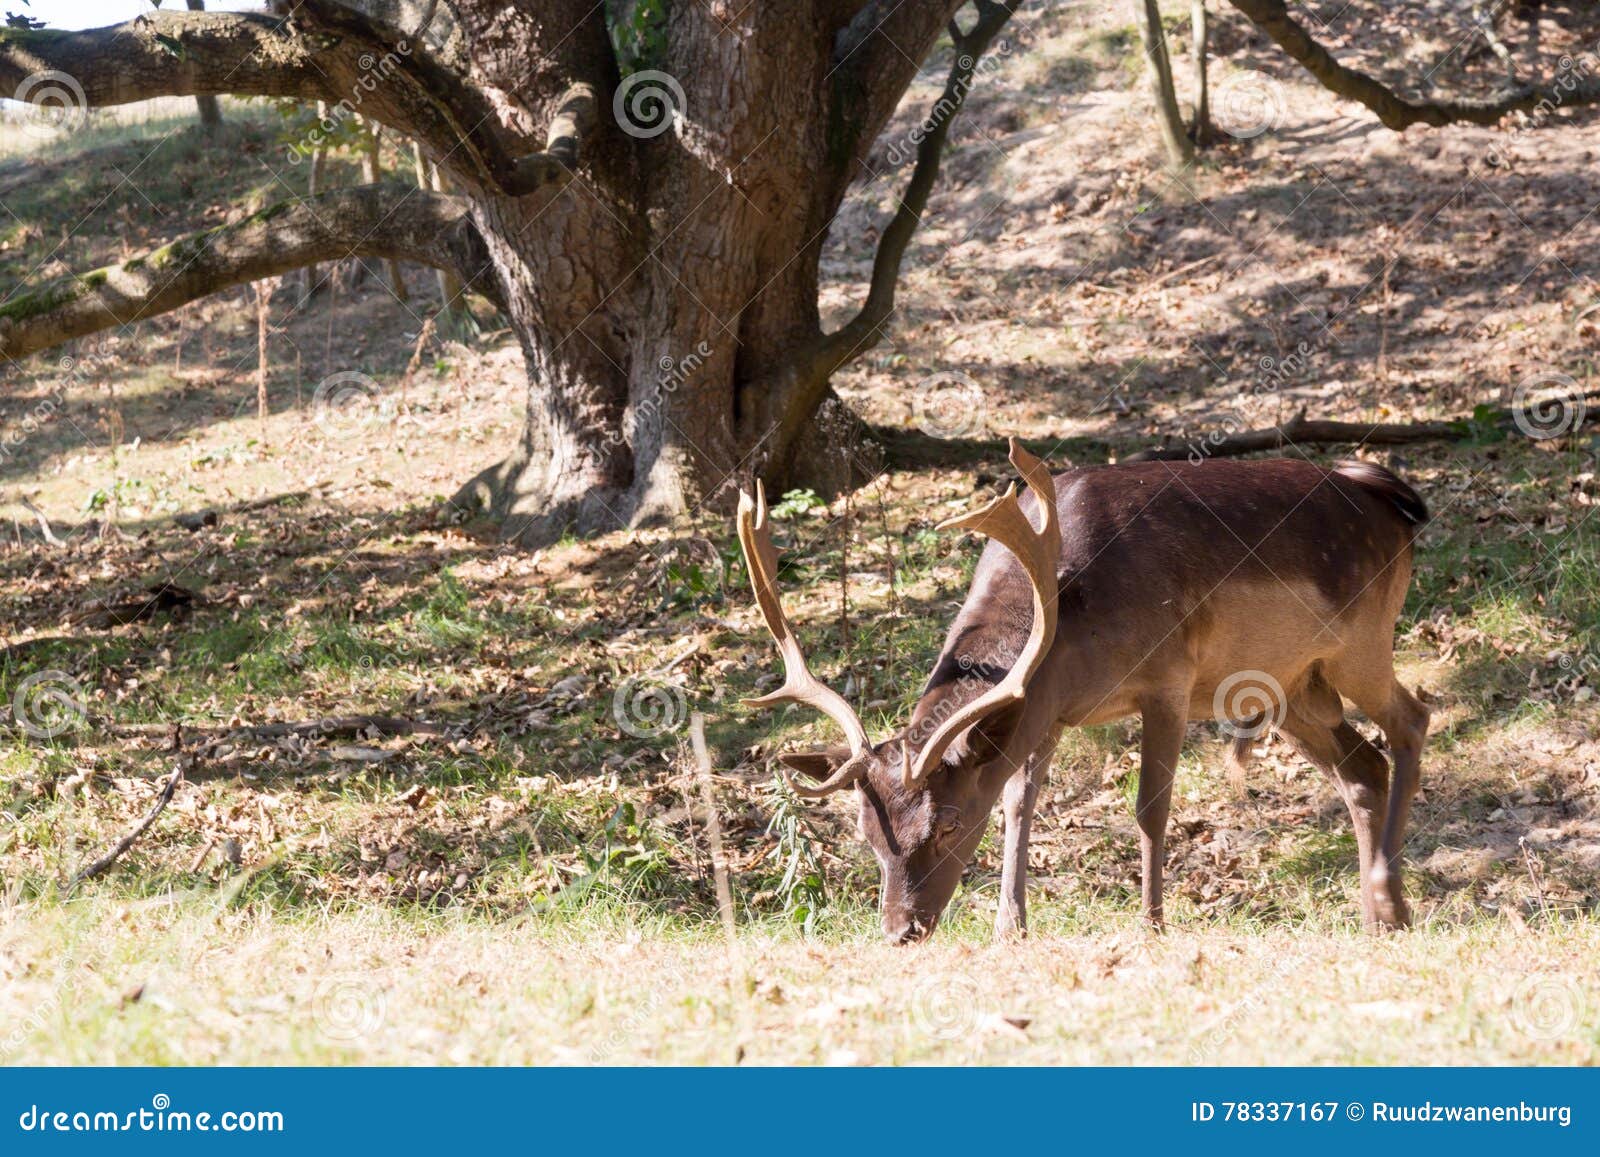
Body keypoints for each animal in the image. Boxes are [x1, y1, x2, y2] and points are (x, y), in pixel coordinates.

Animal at [736, 438, 1430, 943]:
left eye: (949, 823)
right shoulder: (1048, 712)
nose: (899, 930)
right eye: (865, 832)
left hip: (1361, 645)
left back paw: (1390, 897)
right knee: (1362, 767)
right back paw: (1379, 917)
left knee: (1412, 719)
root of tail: (1392, 503)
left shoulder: (1169, 678)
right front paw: (1009, 929)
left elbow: (1150, 808)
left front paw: (1151, 926)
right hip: (1292, 688)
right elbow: (1020, 802)